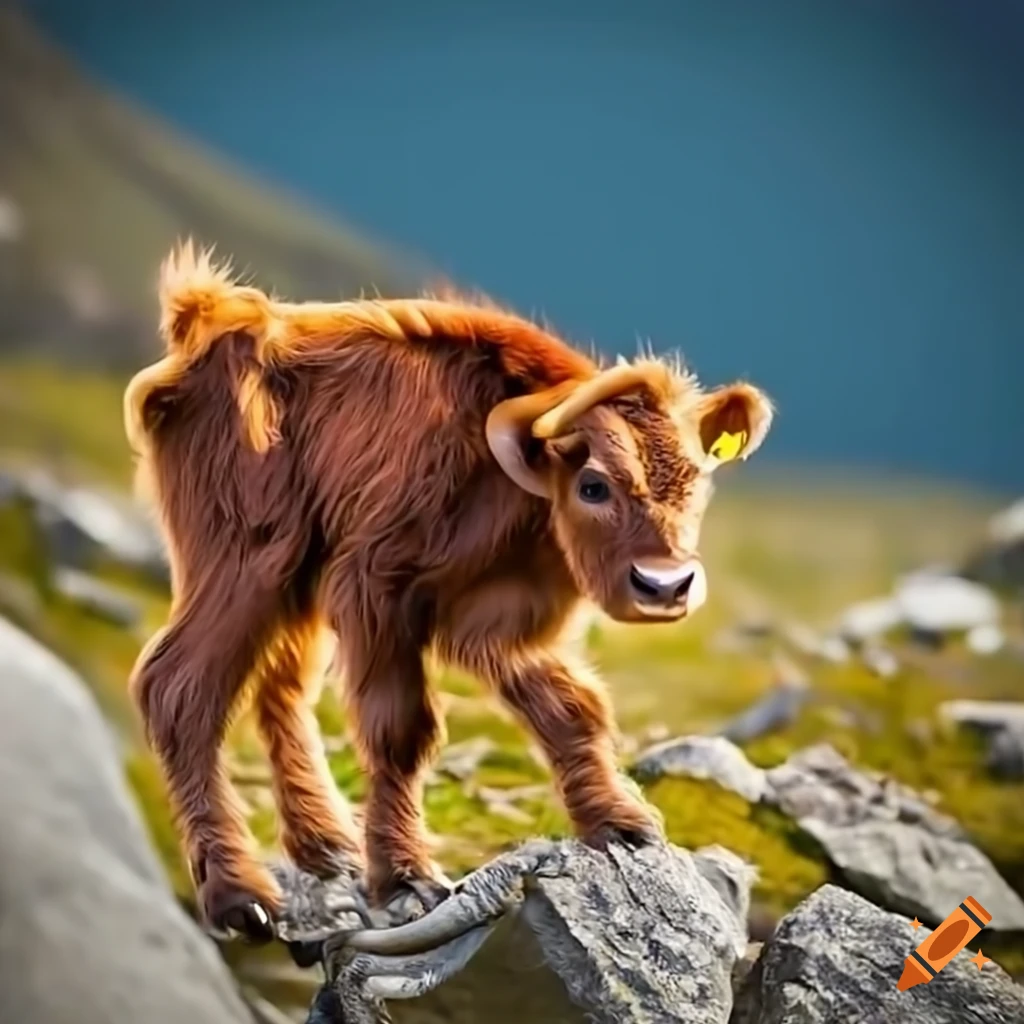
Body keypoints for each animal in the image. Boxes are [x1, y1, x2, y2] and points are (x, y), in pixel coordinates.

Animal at [124, 241, 773, 941]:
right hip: (244, 560)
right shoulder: (377, 589)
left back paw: (326, 846)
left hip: (298, 578)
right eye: (594, 484)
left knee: (283, 690)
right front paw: (406, 879)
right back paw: (238, 895)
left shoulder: (501, 618)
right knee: (180, 688)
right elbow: (401, 728)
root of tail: (217, 321)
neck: (515, 497)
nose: (664, 585)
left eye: (698, 482)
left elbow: (574, 710)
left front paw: (620, 823)